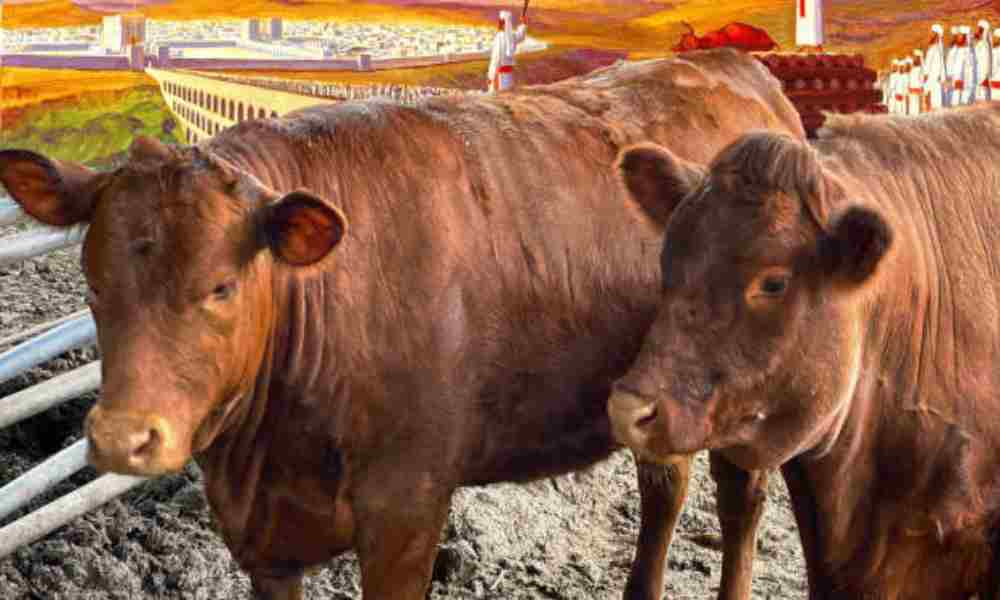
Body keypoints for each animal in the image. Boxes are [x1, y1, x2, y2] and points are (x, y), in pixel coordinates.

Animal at [0, 48, 803, 600]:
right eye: (93, 283)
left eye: (222, 285)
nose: (121, 438)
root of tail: (731, 66)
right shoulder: (262, 536)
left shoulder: (407, 511)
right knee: (665, 485)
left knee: (741, 505)